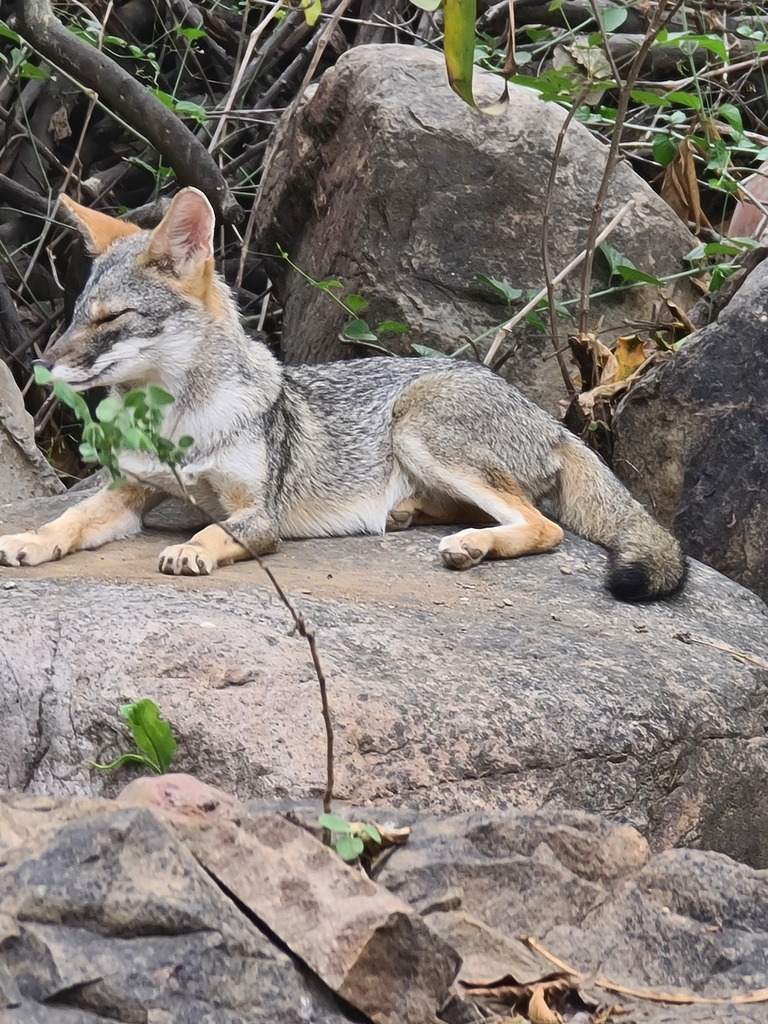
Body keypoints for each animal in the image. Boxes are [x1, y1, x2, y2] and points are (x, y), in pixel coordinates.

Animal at [0, 187, 686, 600]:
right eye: (76, 316)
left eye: (111, 319)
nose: (39, 365)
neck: (179, 428)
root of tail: (550, 419)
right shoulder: (130, 491)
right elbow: (69, 518)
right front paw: (29, 540)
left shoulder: (260, 515)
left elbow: (215, 530)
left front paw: (191, 550)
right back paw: (415, 514)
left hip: (418, 424)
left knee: (543, 526)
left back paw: (472, 544)